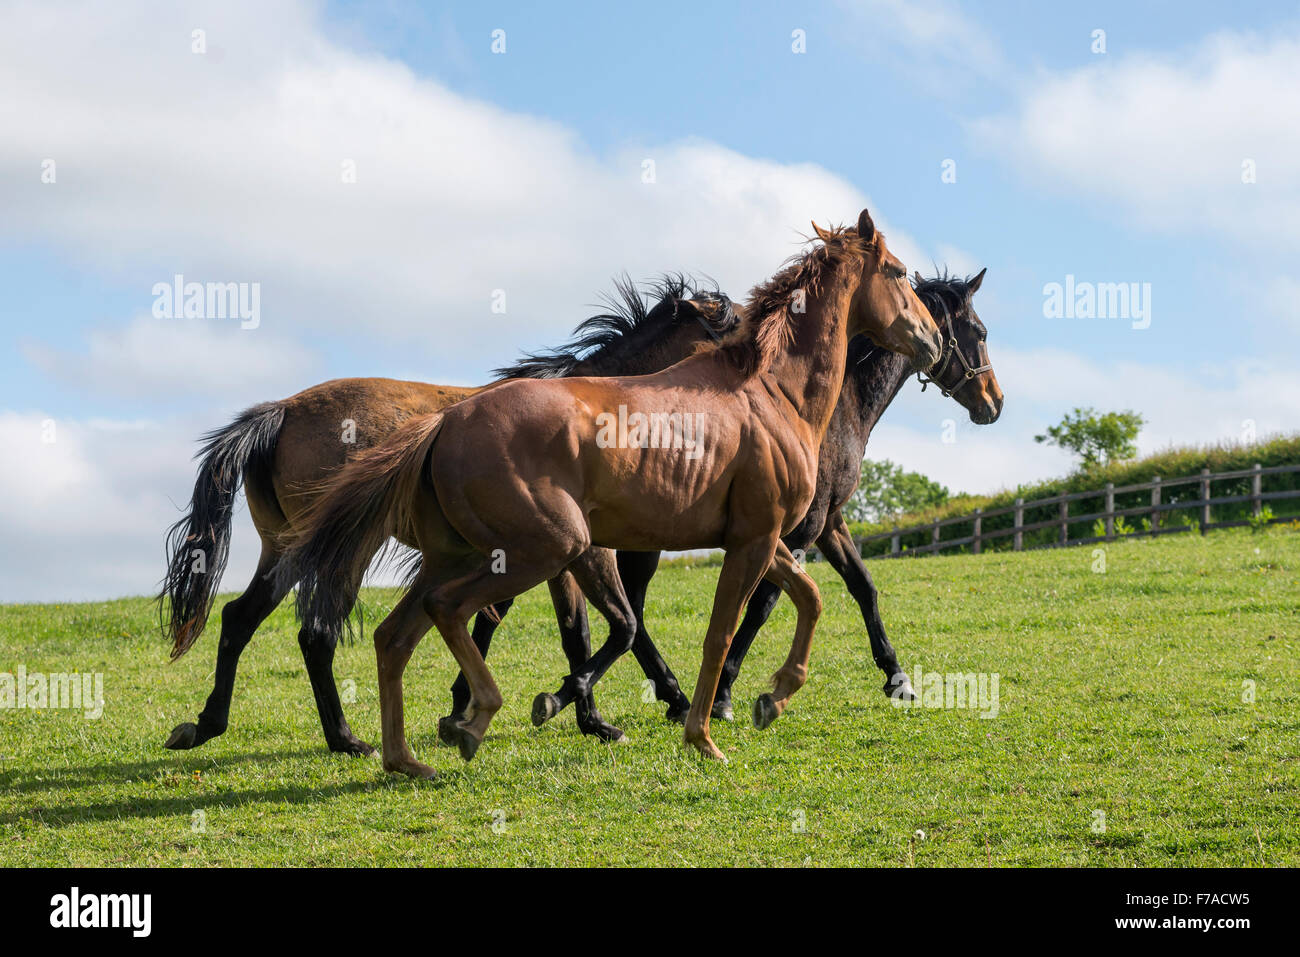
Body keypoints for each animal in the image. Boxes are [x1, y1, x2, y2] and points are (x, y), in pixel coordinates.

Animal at [159, 276, 740, 755]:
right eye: (731, 323)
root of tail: (280, 413)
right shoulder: (575, 553)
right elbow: (599, 630)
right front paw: (593, 714)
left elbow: (551, 629)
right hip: (346, 552)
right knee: (316, 635)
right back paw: (346, 740)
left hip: (286, 549)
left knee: (240, 619)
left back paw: (205, 725)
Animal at [282, 208, 944, 777]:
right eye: (899, 272)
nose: (935, 341)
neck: (771, 391)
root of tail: (445, 423)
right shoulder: (754, 541)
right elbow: (717, 633)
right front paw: (703, 735)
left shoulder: (765, 538)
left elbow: (810, 599)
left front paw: (772, 698)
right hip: (543, 549)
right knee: (451, 611)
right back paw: (471, 721)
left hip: (462, 555)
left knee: (394, 636)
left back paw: (405, 759)